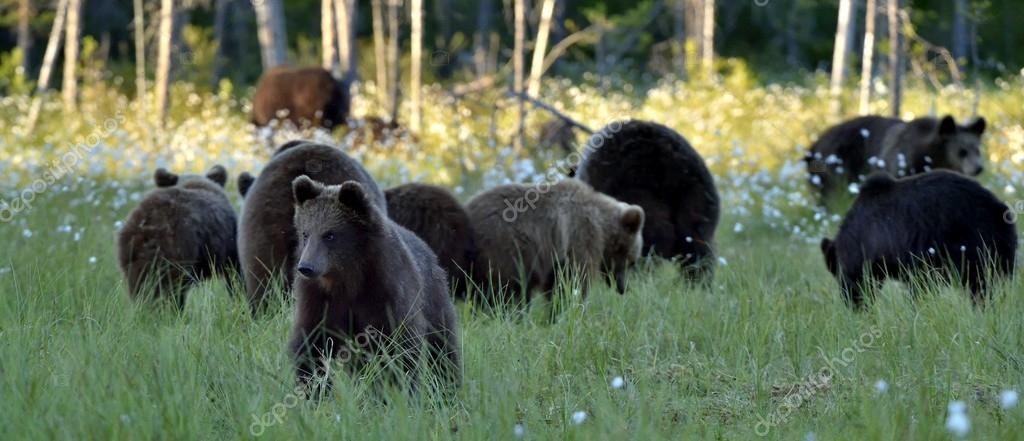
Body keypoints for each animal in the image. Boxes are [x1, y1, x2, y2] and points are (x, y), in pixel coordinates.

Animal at [117, 165, 239, 310]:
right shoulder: (228, 243)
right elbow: (234, 274)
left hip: (131, 256)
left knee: (141, 290)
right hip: (177, 252)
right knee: (171, 291)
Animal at [289, 176, 460, 390]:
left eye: (329, 234)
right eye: (305, 233)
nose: (306, 267)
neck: (347, 278)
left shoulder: (385, 291)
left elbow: (400, 347)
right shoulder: (318, 300)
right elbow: (312, 346)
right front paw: (311, 387)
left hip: (433, 300)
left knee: (443, 349)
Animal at [466, 178, 645, 303]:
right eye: (631, 262)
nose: (623, 288)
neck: (603, 224)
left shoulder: (556, 259)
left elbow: (556, 284)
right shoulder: (581, 233)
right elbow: (578, 278)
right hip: (503, 248)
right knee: (506, 290)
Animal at [806, 115, 986, 202]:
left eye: (977, 150)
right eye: (962, 151)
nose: (978, 168)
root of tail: (815, 143)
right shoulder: (902, 163)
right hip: (838, 163)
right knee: (832, 193)